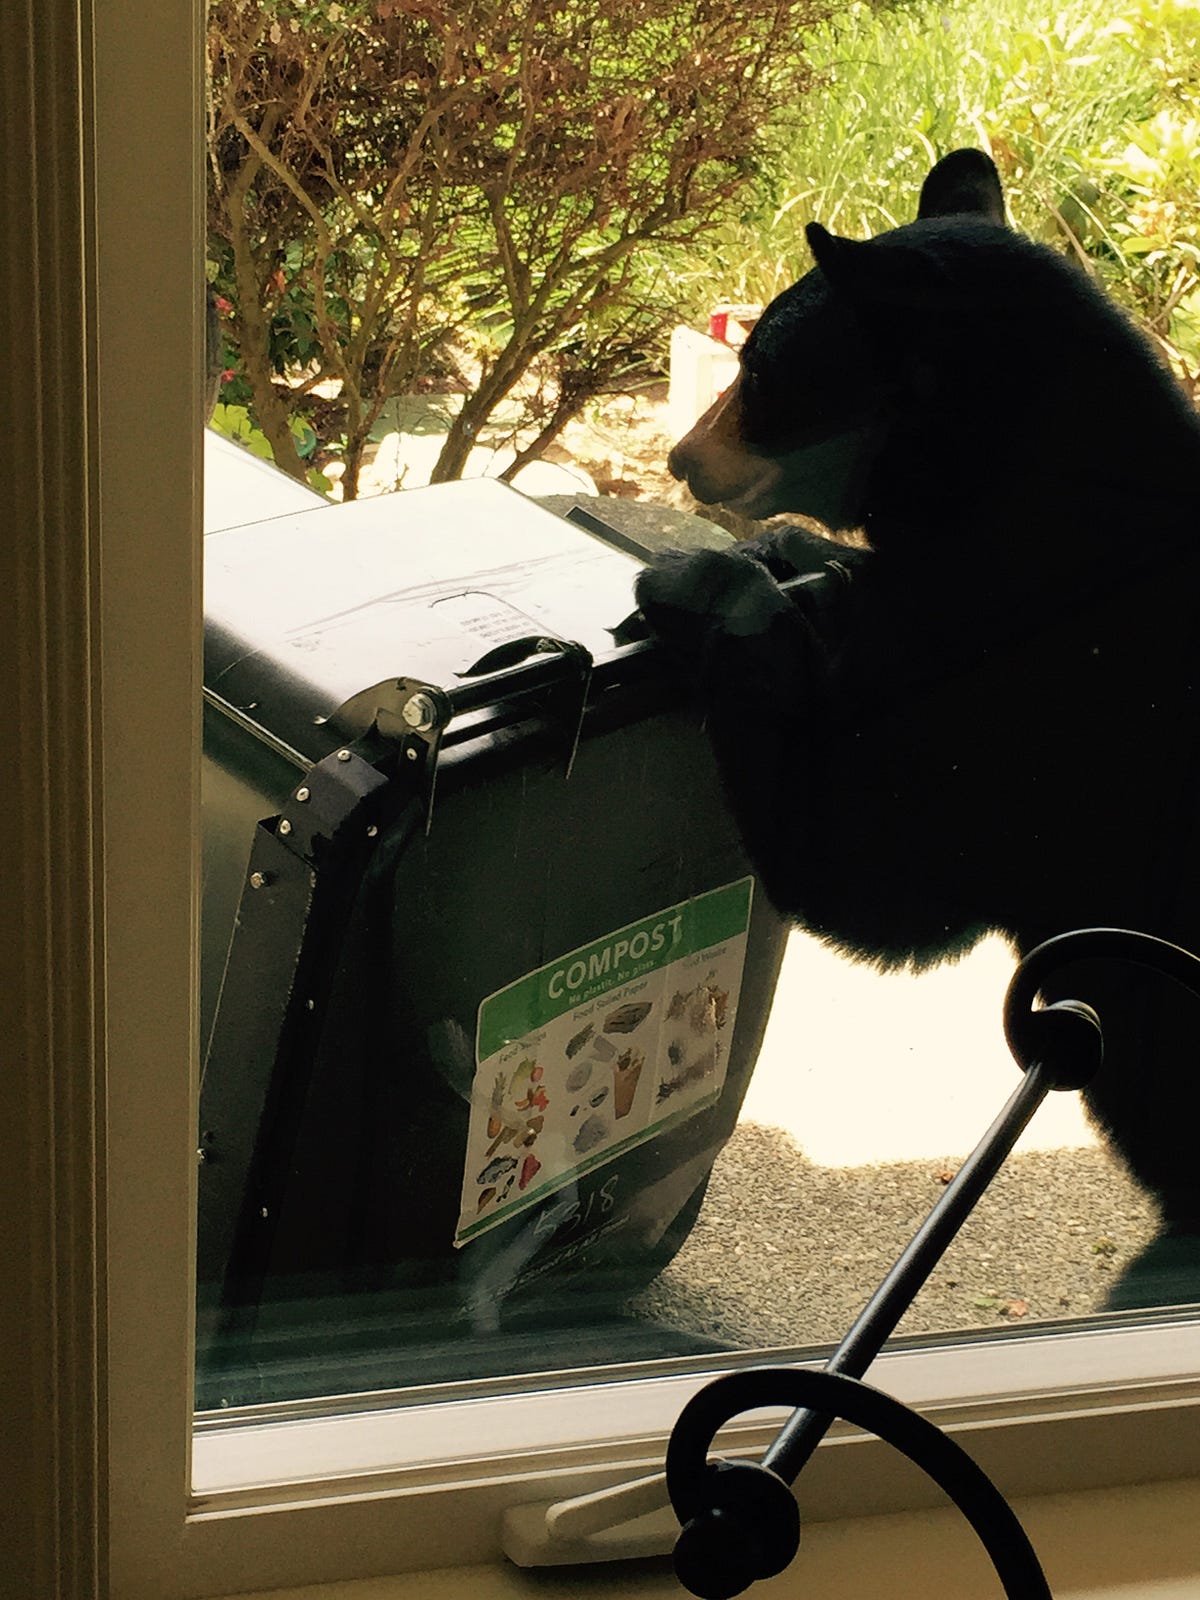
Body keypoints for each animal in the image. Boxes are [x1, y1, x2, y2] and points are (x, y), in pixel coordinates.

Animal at [635, 148, 1200, 1308]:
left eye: (761, 370)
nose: (674, 460)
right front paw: (798, 560)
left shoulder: (1028, 716)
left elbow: (866, 876)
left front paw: (712, 588)